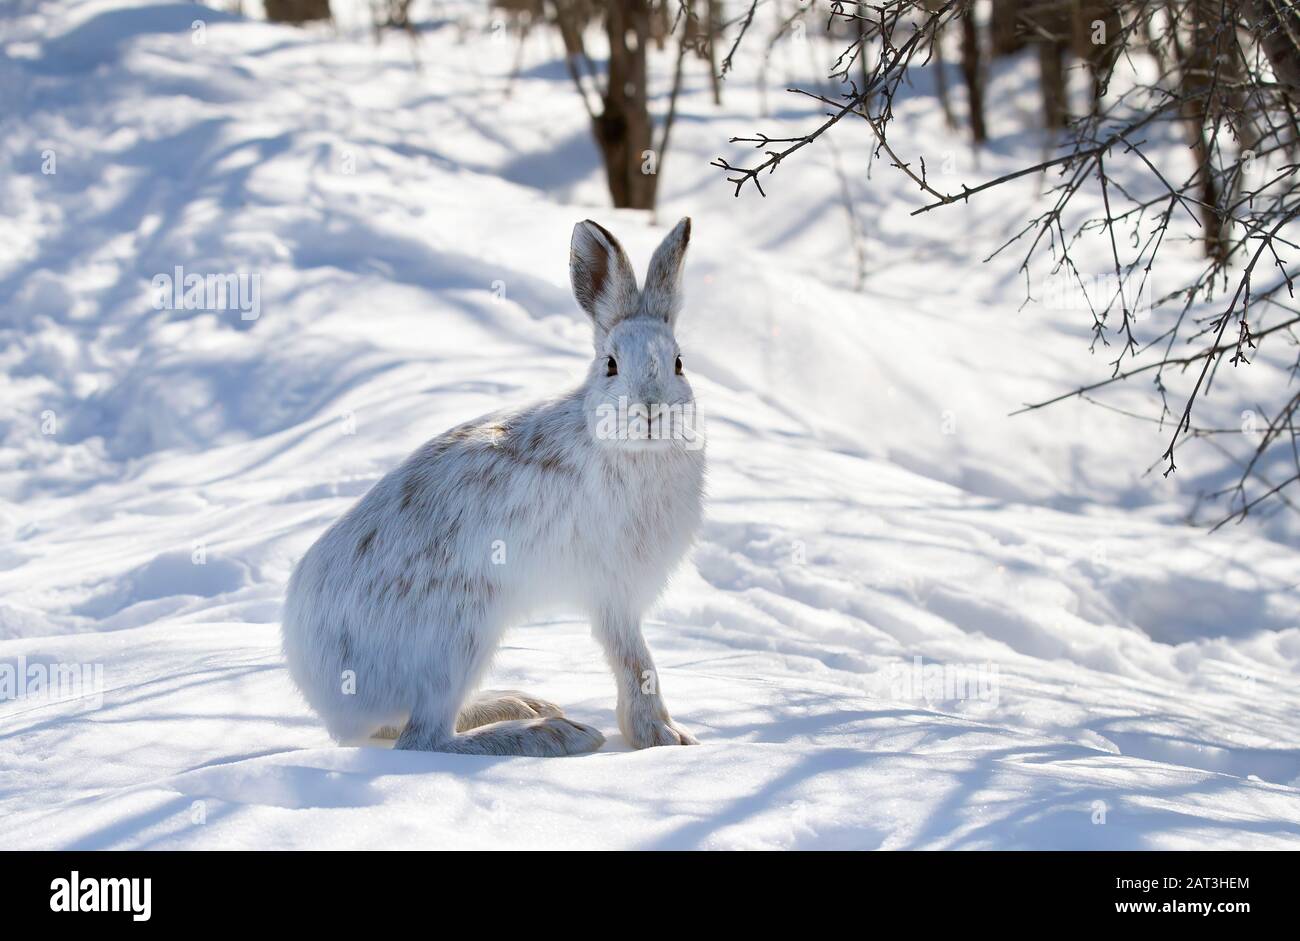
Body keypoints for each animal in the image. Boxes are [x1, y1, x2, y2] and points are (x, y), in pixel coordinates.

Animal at [281, 217, 705, 757]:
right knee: (423, 740)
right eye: (610, 364)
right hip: (460, 633)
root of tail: (323, 688)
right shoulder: (613, 593)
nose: (651, 411)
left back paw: (522, 704)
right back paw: (549, 734)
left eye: (679, 363)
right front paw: (664, 737)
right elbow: (636, 662)